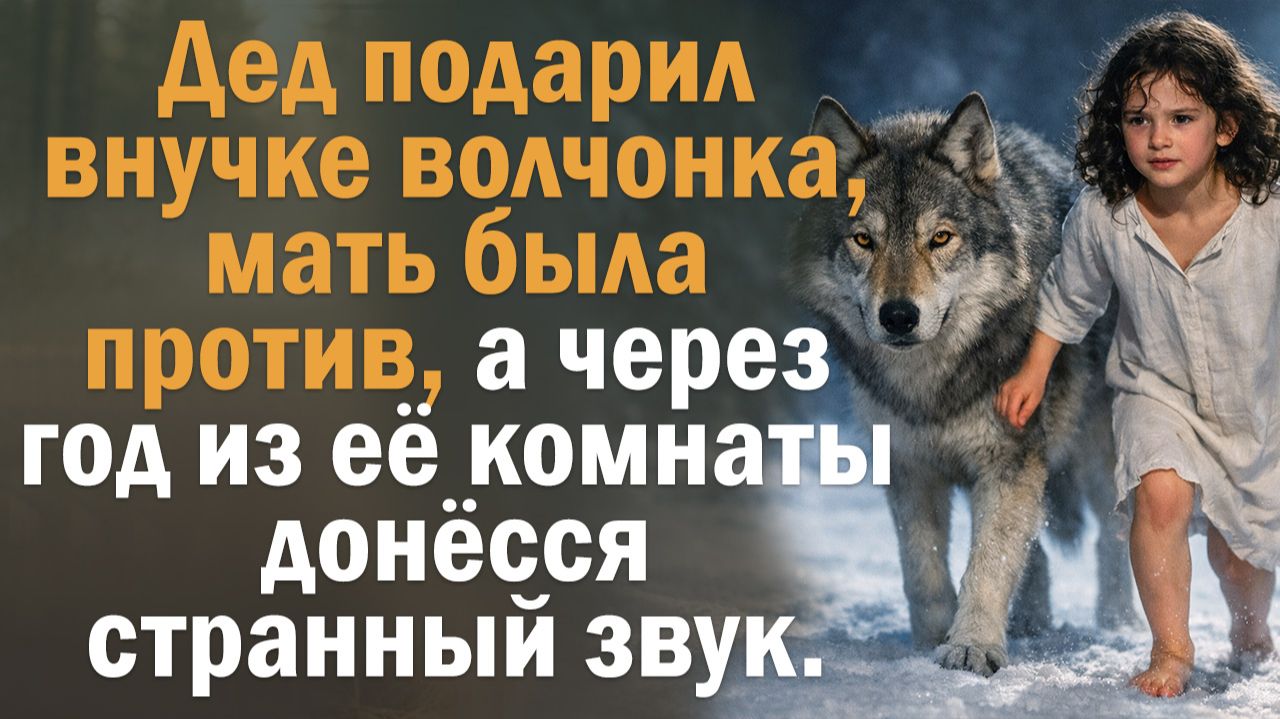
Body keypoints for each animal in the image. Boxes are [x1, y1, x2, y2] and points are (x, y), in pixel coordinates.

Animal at [789, 93, 1136, 676]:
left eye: (940, 238)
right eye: (863, 240)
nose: (898, 316)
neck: (931, 388)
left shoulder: (1008, 463)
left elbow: (989, 564)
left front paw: (972, 646)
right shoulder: (908, 467)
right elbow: (922, 569)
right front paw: (933, 639)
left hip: (1097, 457)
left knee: (1112, 540)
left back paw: (1118, 626)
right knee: (1038, 552)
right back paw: (1031, 623)